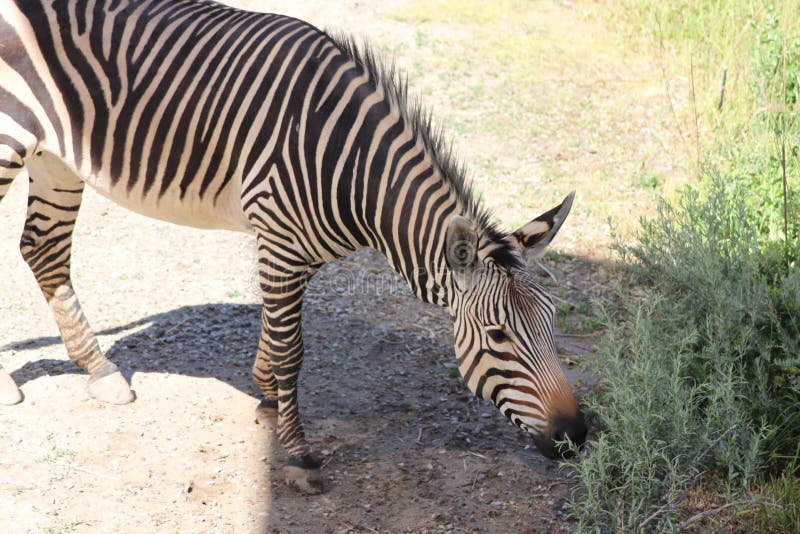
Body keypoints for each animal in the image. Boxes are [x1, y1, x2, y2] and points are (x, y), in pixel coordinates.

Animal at [0, 0, 587, 493]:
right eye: (498, 336)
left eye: (552, 322)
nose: (577, 437)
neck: (351, 167)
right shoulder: (280, 240)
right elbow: (293, 350)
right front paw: (298, 452)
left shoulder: (295, 249)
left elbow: (275, 338)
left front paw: (265, 397)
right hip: (10, 139)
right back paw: (11, 386)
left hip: (56, 157)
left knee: (44, 248)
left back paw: (99, 372)